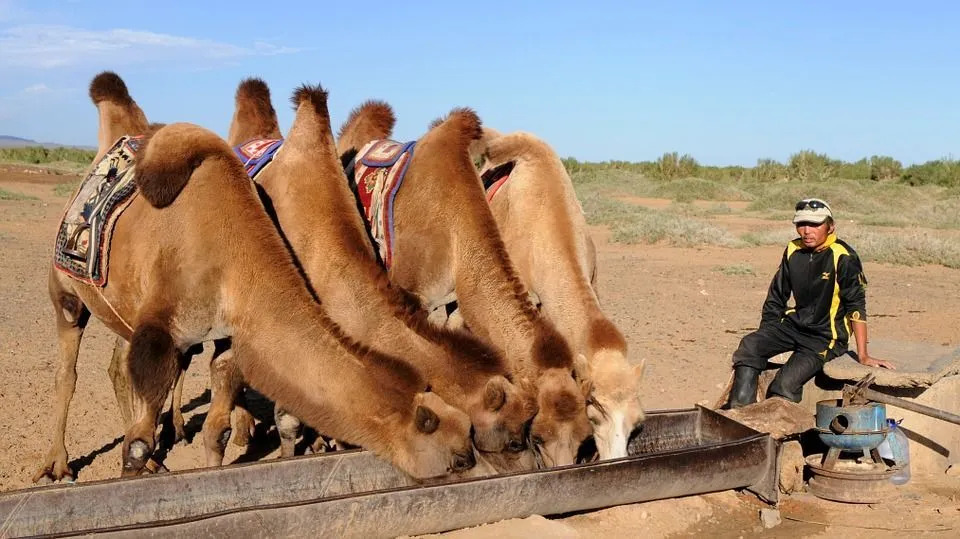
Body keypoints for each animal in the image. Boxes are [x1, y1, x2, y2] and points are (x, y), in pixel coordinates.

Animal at [338, 106, 592, 468]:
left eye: (584, 436)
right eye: (538, 435)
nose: (562, 469)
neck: (455, 230)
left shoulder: (456, 302)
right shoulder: (412, 294)